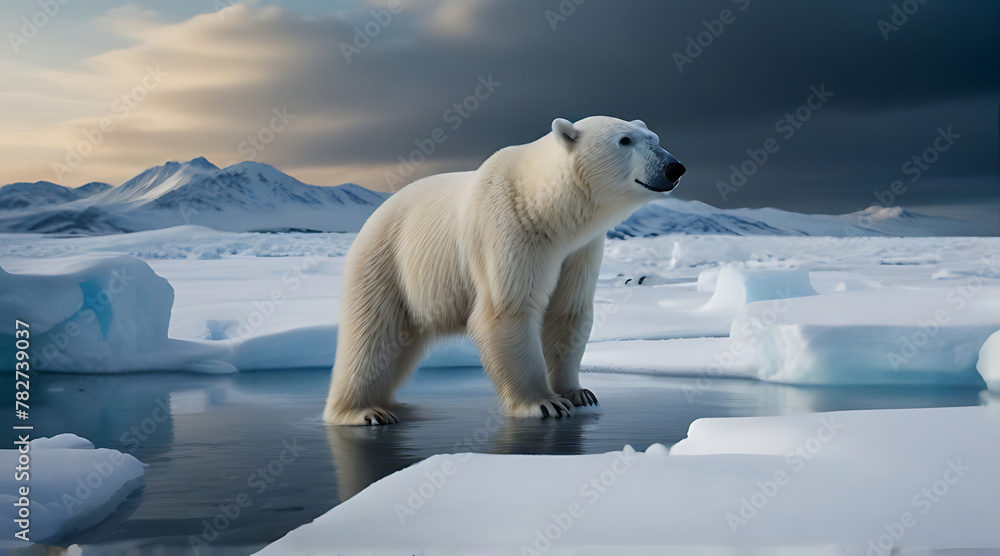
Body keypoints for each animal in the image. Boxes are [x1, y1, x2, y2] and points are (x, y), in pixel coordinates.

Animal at [324, 116, 685, 425]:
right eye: (624, 140)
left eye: (654, 137)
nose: (674, 167)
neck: (546, 208)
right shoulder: (509, 229)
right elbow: (509, 310)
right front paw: (545, 403)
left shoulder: (580, 249)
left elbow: (568, 311)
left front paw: (580, 393)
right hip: (386, 263)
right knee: (372, 337)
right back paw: (363, 411)